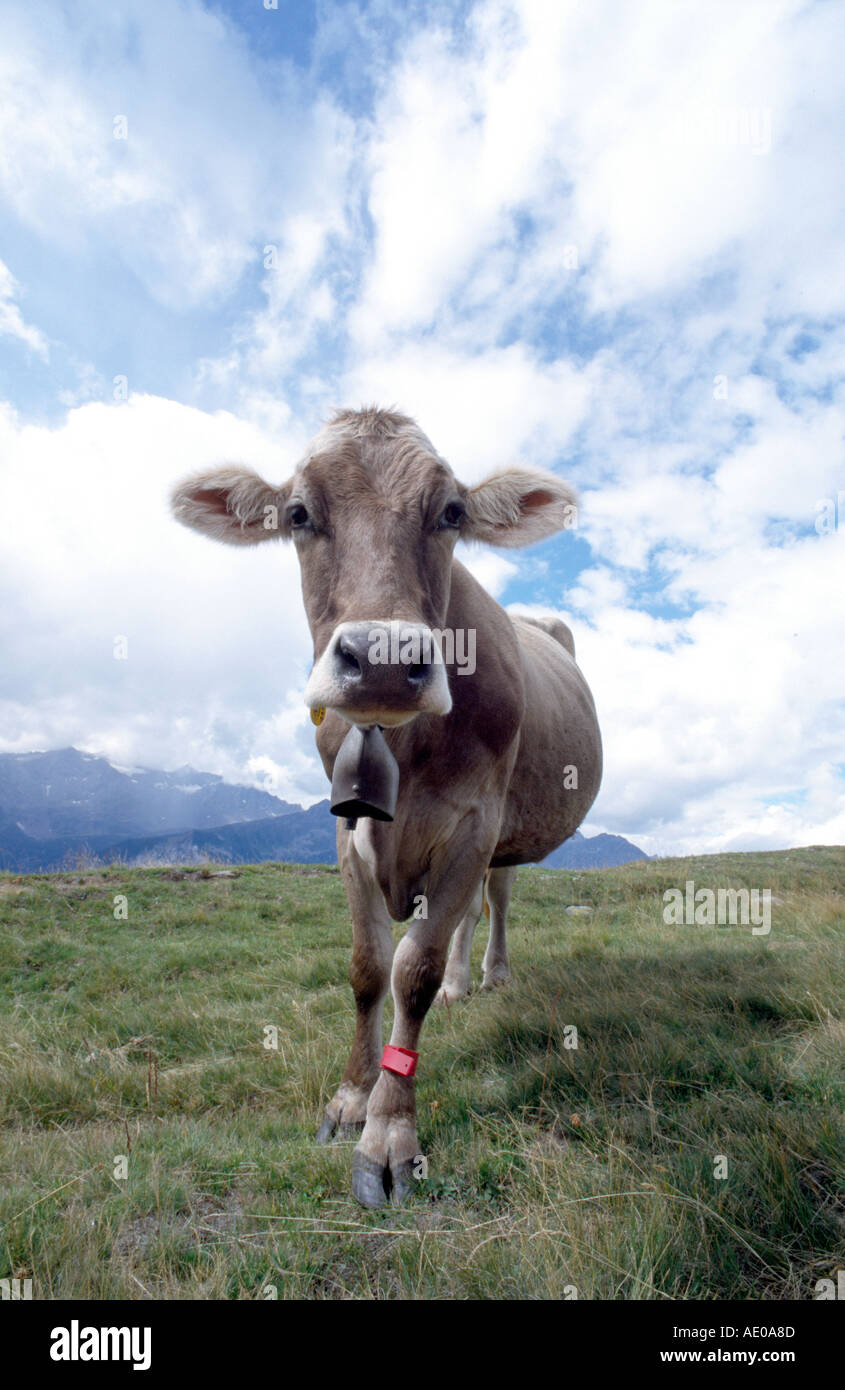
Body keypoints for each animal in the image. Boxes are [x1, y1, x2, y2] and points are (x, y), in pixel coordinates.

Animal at [171, 407, 602, 1208]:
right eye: (298, 514)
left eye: (452, 512)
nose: (379, 659)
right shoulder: (348, 830)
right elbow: (369, 966)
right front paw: (349, 1098)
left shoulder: (473, 822)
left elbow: (414, 971)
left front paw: (388, 1131)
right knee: (468, 913)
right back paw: (466, 986)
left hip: (504, 827)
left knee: (494, 899)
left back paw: (489, 976)